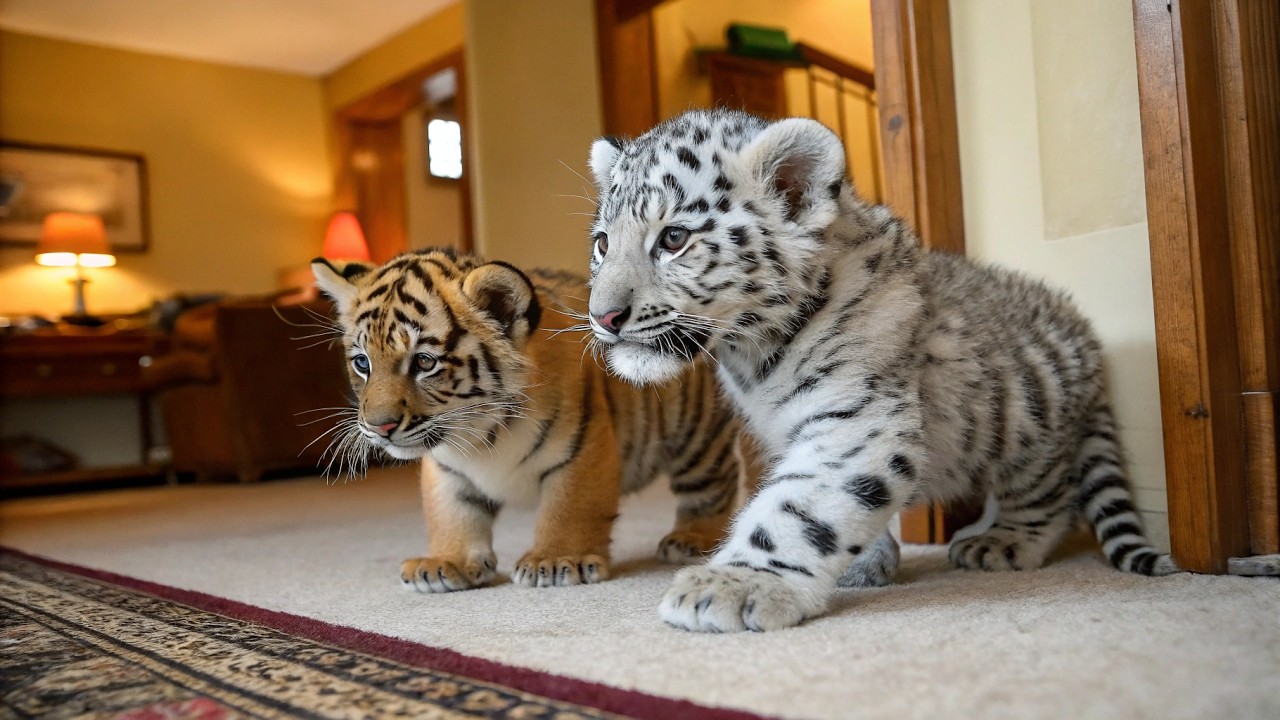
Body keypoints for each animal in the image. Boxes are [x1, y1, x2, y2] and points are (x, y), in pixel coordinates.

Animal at [311, 248, 743, 592]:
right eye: (362, 363)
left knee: (713, 489)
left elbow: (569, 505)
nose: (379, 427)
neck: (481, 435)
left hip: (698, 439)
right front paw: (446, 562)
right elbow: (451, 512)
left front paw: (556, 561)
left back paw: (690, 539)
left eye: (424, 362)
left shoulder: (582, 447)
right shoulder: (447, 469)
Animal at [584, 108, 1176, 632]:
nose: (603, 317)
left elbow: (796, 509)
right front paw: (868, 559)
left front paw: (733, 585)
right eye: (603, 242)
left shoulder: (857, 420)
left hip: (1029, 433)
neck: (747, 359)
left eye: (674, 238)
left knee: (1049, 496)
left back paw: (999, 541)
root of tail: (1084, 331)